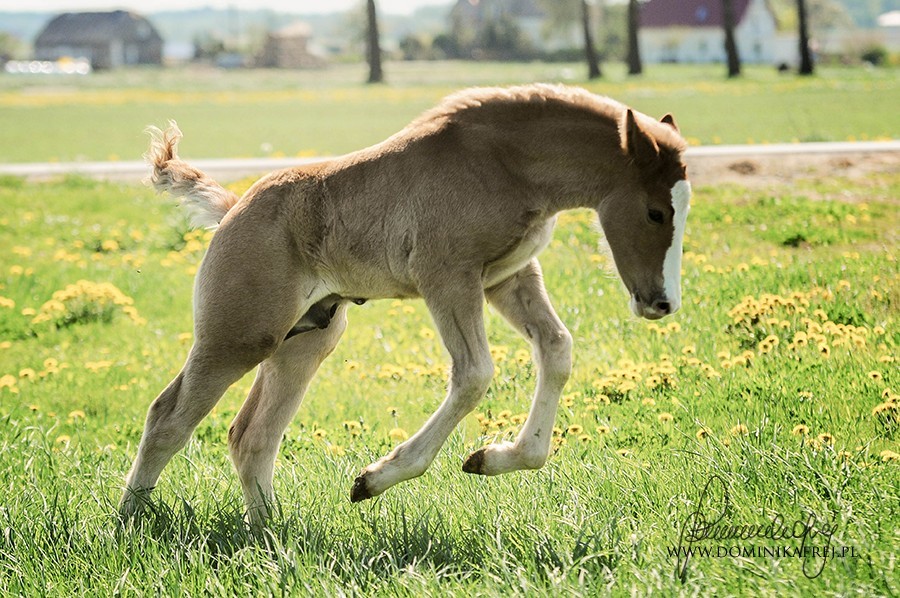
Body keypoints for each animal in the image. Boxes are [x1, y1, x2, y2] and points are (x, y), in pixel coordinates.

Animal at [119, 83, 691, 525]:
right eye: (656, 212)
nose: (662, 303)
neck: (506, 166)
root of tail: (234, 208)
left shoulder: (508, 278)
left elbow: (557, 349)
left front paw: (493, 458)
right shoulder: (448, 278)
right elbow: (475, 375)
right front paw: (373, 479)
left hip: (305, 341)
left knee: (251, 436)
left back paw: (268, 533)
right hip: (239, 336)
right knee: (168, 417)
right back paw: (128, 522)